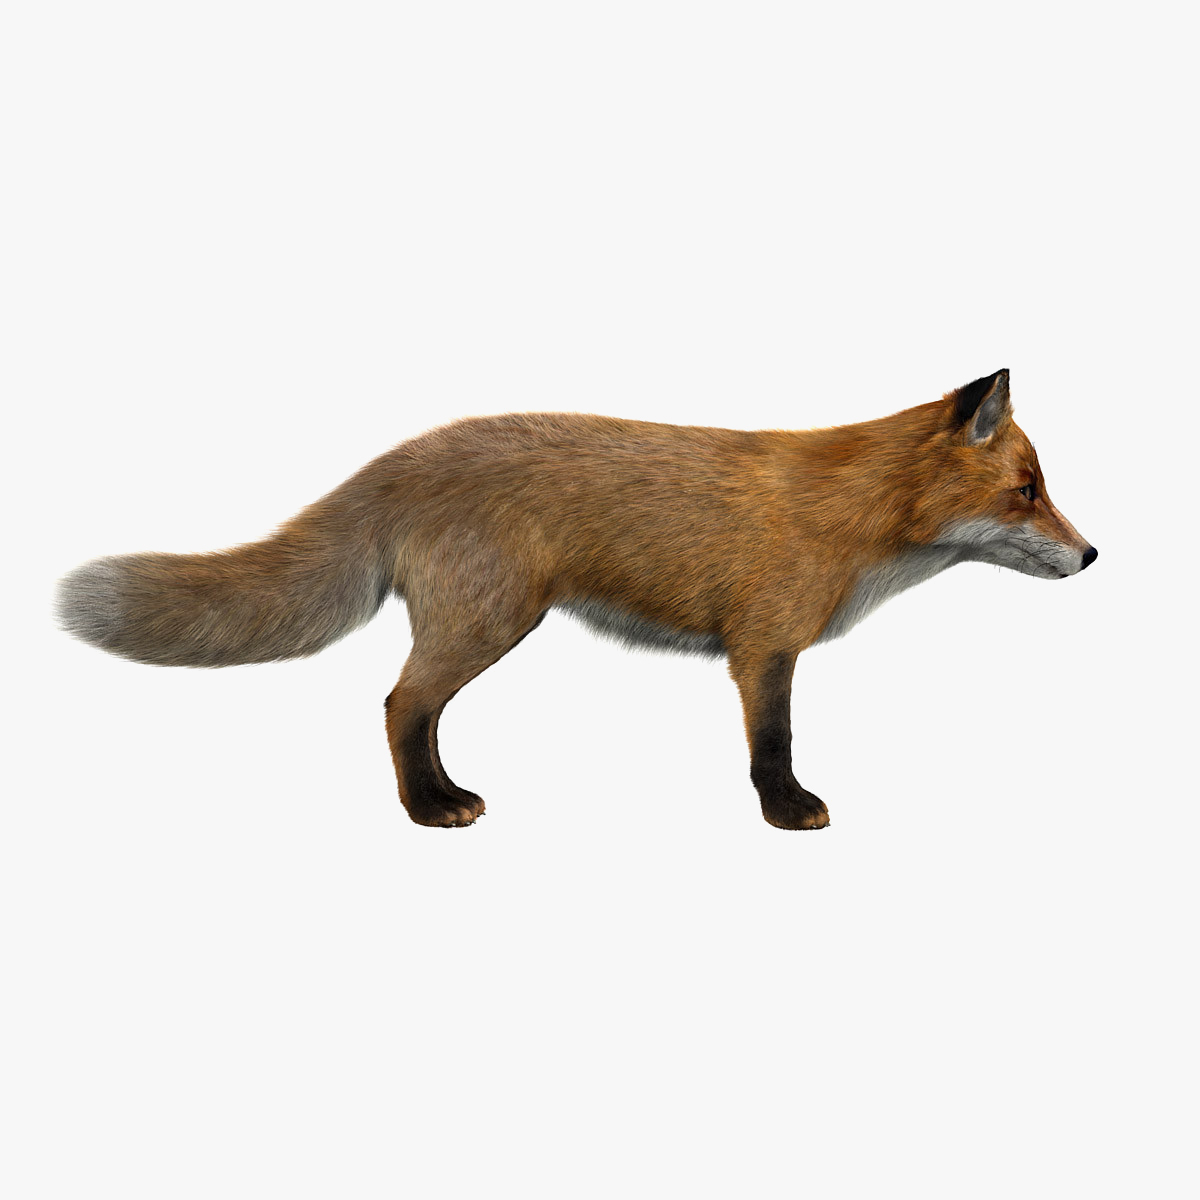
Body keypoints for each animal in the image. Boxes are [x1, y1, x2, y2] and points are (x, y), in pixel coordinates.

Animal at [57, 368, 1096, 830]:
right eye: (1028, 490)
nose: (1093, 555)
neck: (852, 511)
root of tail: (398, 458)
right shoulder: (763, 647)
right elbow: (774, 744)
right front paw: (784, 810)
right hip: (488, 622)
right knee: (398, 706)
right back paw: (427, 810)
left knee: (409, 710)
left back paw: (441, 796)